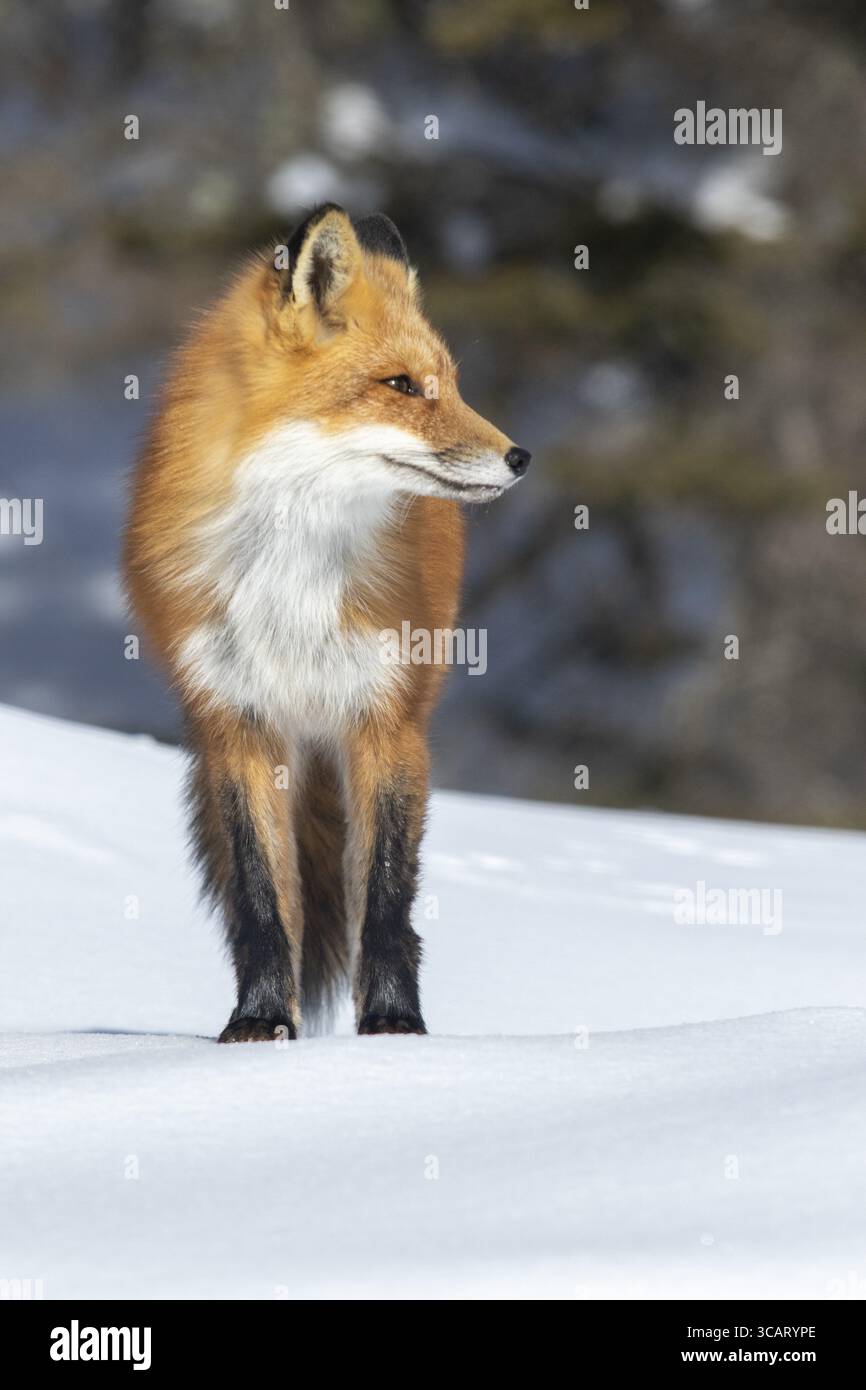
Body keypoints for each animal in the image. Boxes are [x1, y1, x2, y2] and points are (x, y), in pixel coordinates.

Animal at [123, 204, 531, 1042]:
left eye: (451, 383)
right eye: (400, 385)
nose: (520, 457)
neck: (293, 567)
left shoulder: (387, 718)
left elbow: (385, 895)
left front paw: (393, 1023)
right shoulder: (237, 723)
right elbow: (261, 898)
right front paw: (258, 1019)